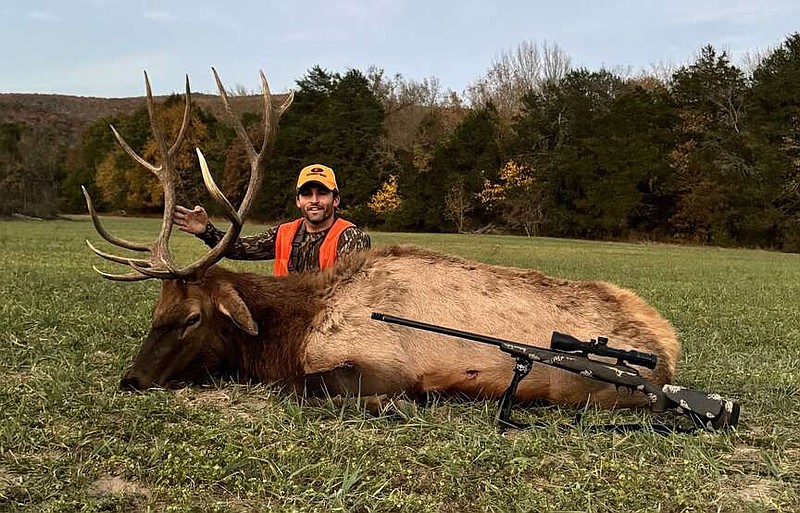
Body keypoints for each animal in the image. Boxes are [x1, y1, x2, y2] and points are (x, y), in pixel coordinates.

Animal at [83, 69, 681, 413]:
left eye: (190, 318)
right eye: (155, 312)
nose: (131, 379)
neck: (292, 332)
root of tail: (670, 348)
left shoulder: (378, 361)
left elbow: (310, 387)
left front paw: (406, 405)